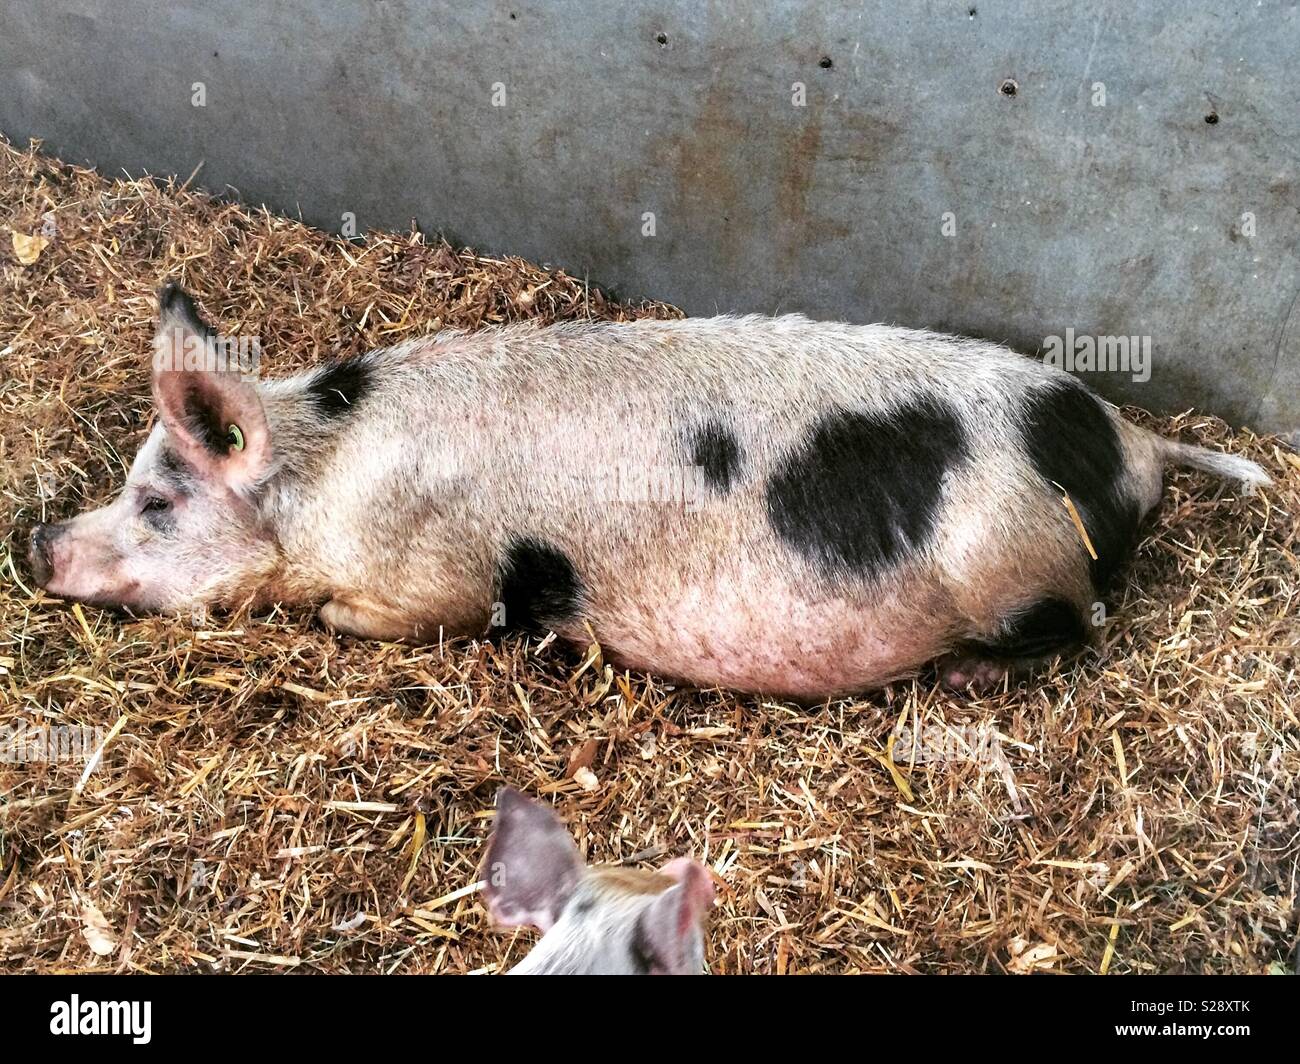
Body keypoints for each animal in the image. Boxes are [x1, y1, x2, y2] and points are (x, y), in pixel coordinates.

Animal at [28, 283, 1272, 698]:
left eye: (158, 502)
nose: (36, 539)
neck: (329, 466)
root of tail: (1134, 447)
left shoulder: (435, 582)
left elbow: (372, 615)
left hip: (1018, 568)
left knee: (1079, 621)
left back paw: (963, 672)